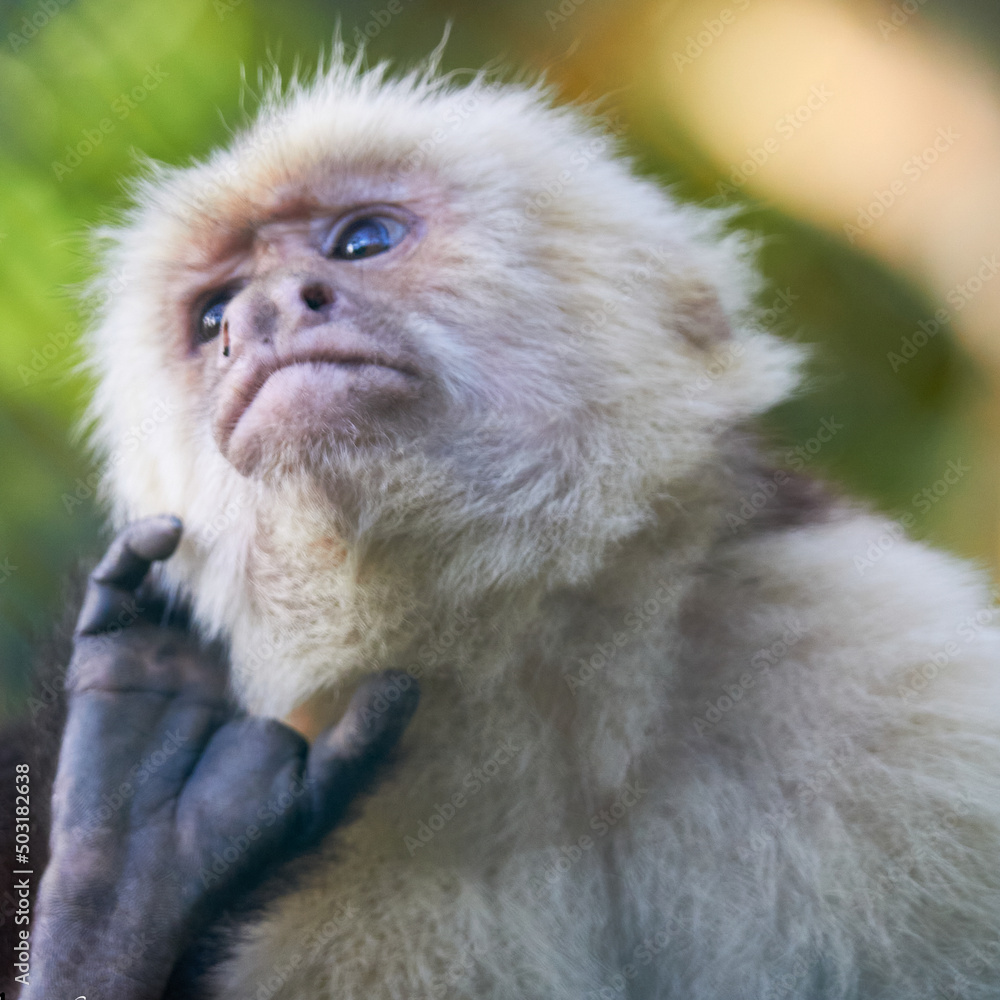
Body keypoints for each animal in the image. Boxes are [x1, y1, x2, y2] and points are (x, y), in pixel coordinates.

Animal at [10, 47, 1000, 999]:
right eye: (212, 312)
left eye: (362, 240)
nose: (256, 314)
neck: (547, 692)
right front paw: (140, 842)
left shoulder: (885, 664)